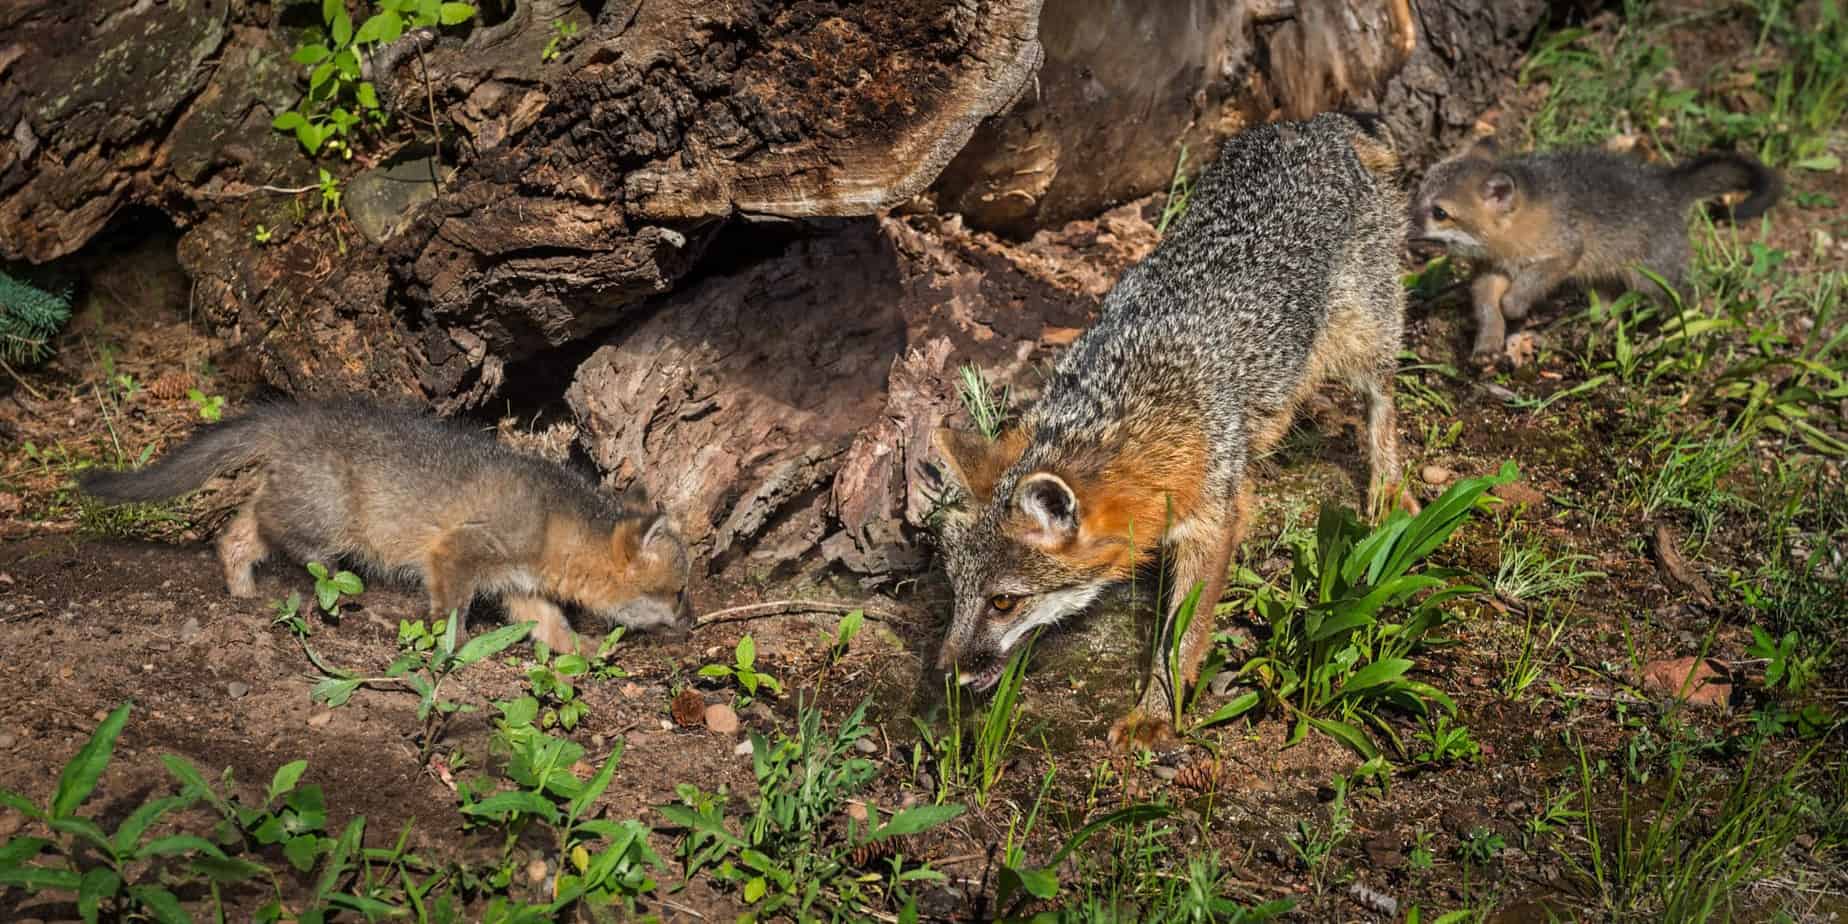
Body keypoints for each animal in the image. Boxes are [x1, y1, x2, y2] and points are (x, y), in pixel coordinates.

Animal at [78, 400, 692, 652]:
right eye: (678, 593)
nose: (692, 624)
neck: (552, 520)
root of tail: (291, 414)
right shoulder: (455, 553)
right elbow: (452, 614)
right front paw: (453, 650)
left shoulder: (519, 589)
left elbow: (553, 627)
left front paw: (580, 656)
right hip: (326, 520)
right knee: (275, 532)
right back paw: (329, 580)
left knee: (236, 534)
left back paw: (242, 592)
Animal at [931, 112, 1414, 750]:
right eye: (956, 591)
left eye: (1005, 602)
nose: (946, 674)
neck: (1134, 400)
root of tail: (1320, 124)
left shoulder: (1214, 520)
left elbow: (1178, 636)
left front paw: (1156, 714)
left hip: (1363, 338)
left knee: (1383, 397)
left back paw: (1389, 488)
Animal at [1411, 138, 1781, 361]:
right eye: (1418, 191)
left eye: (1439, 212)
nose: (1404, 224)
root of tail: (1666, 183)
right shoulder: (1490, 271)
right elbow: (1488, 308)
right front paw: (1488, 344)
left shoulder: (1565, 252)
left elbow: (1525, 287)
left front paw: (1516, 307)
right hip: (1606, 277)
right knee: (1608, 305)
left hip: (1649, 278)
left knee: (1687, 299)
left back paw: (1672, 336)